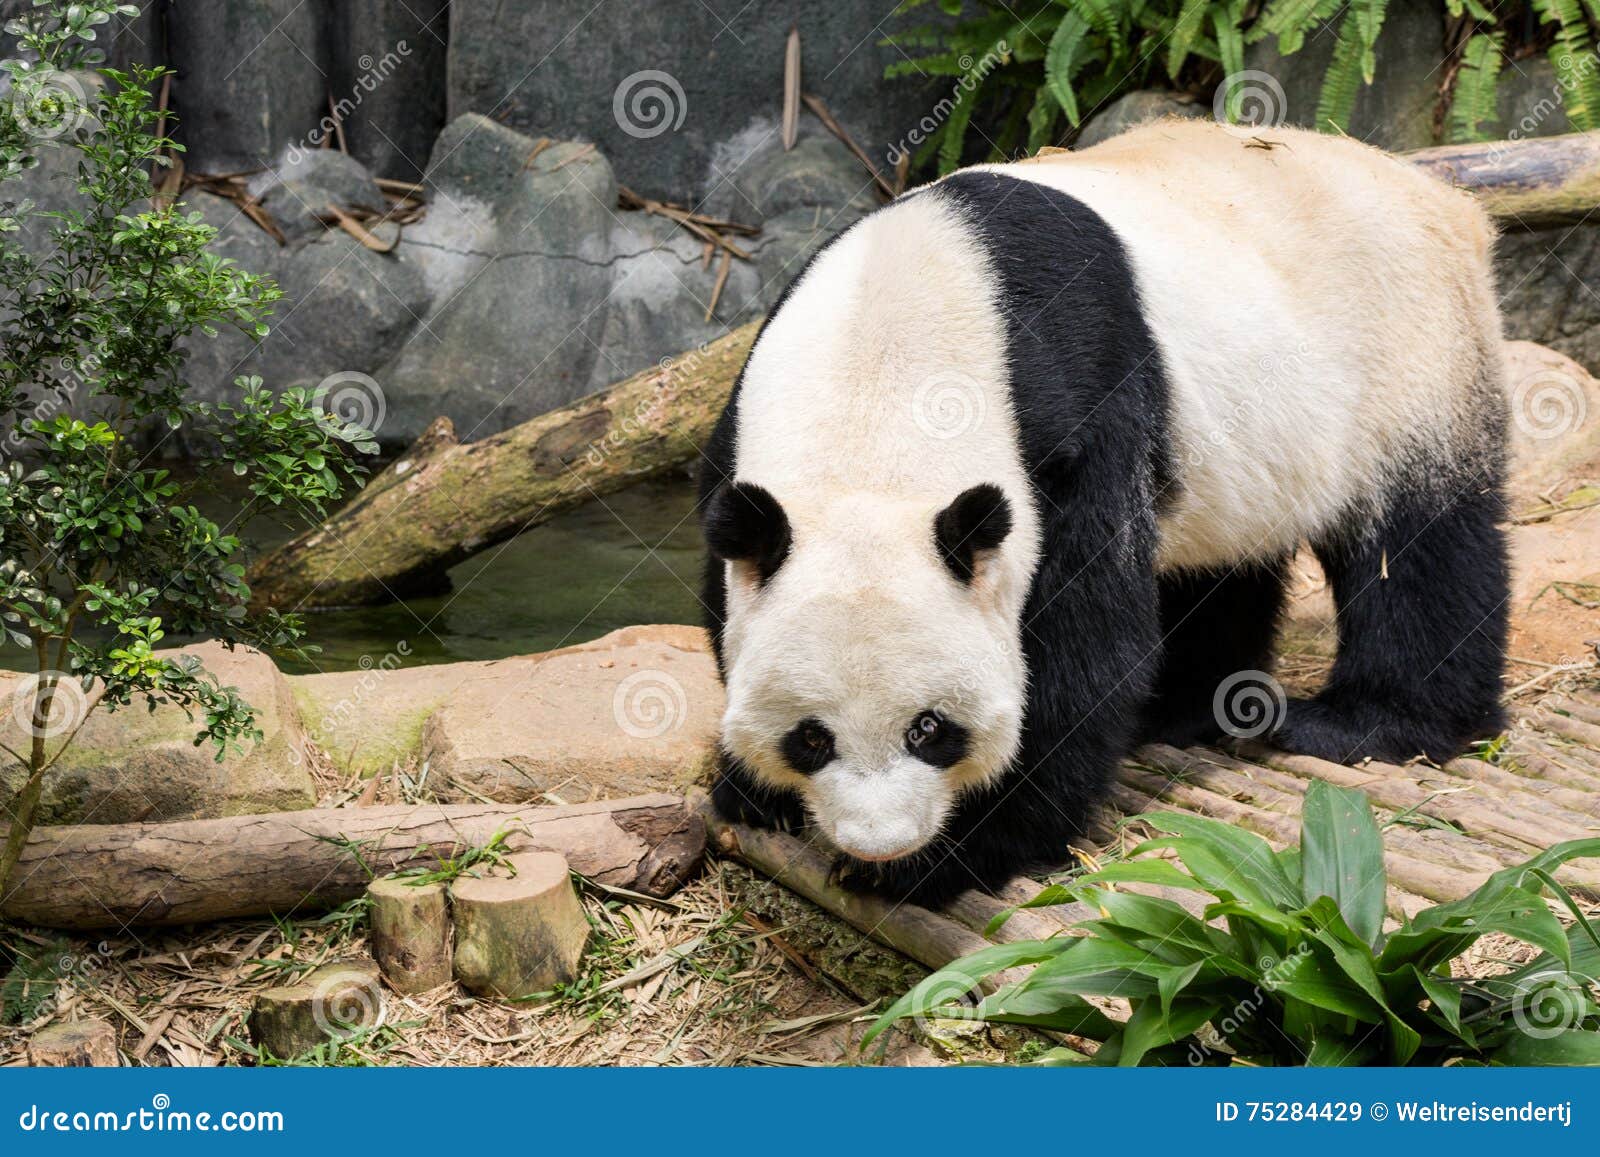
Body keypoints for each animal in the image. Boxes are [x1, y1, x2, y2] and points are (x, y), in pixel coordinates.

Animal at [698, 119, 1509, 906]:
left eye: (931, 730)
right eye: (811, 738)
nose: (880, 841)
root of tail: (1438, 193)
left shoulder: (1076, 414)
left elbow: (1086, 637)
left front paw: (953, 858)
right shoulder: (738, 436)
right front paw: (751, 791)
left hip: (1411, 356)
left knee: (1421, 546)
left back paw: (1369, 720)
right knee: (1216, 563)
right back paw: (1188, 706)